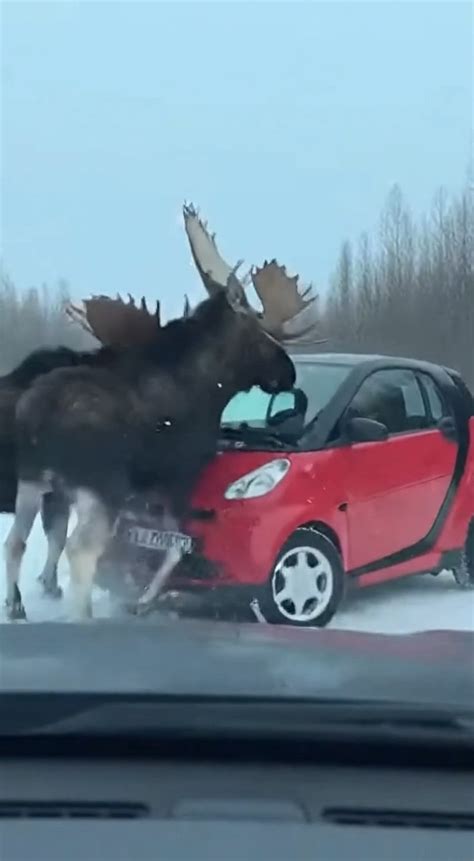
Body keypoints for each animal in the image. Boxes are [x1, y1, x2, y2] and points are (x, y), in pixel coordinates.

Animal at [4, 202, 322, 622]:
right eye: (261, 334)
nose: (289, 371)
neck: (212, 386)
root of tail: (38, 415)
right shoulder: (178, 478)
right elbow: (174, 546)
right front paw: (144, 598)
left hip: (34, 481)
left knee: (15, 542)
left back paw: (16, 607)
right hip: (100, 485)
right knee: (79, 549)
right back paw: (82, 615)